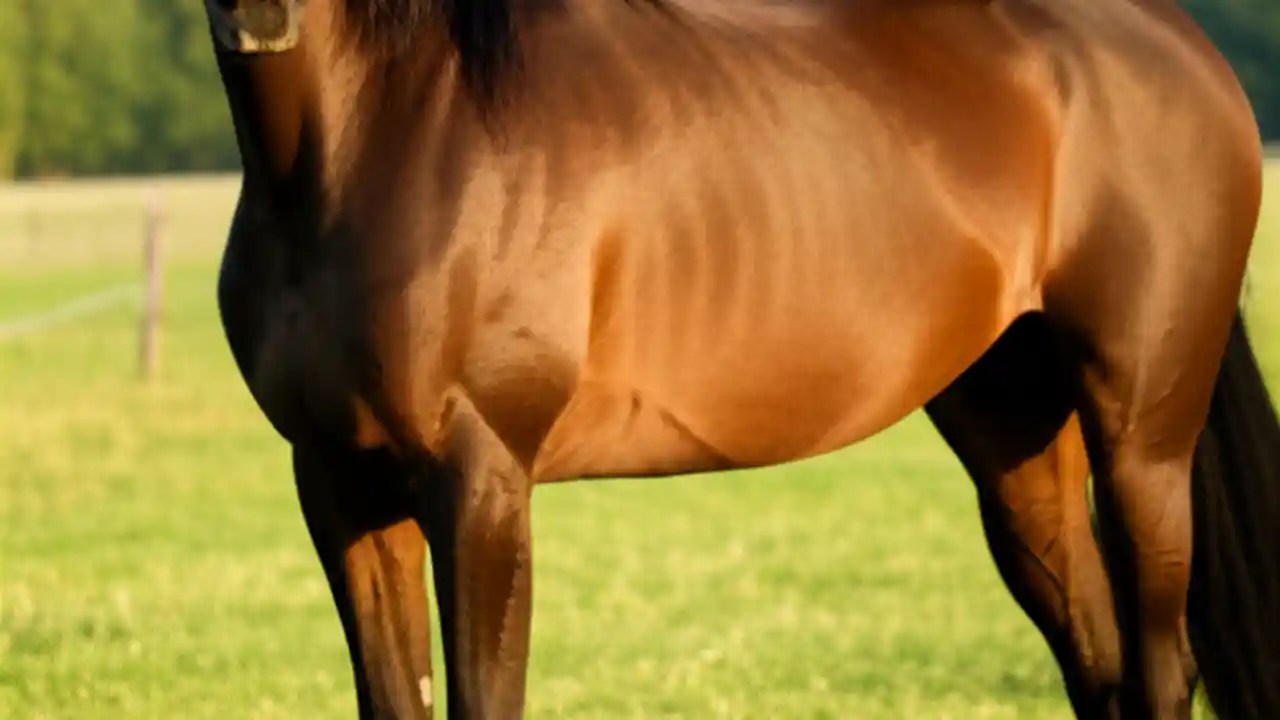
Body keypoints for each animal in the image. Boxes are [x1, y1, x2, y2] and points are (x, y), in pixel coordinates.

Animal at [202, 0, 1280, 717]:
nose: (259, 18)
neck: (396, 121)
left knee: (1157, 666)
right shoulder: (341, 481)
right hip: (1015, 437)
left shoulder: (479, 478)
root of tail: (1177, 43)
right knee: (1095, 660)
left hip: (1142, 445)